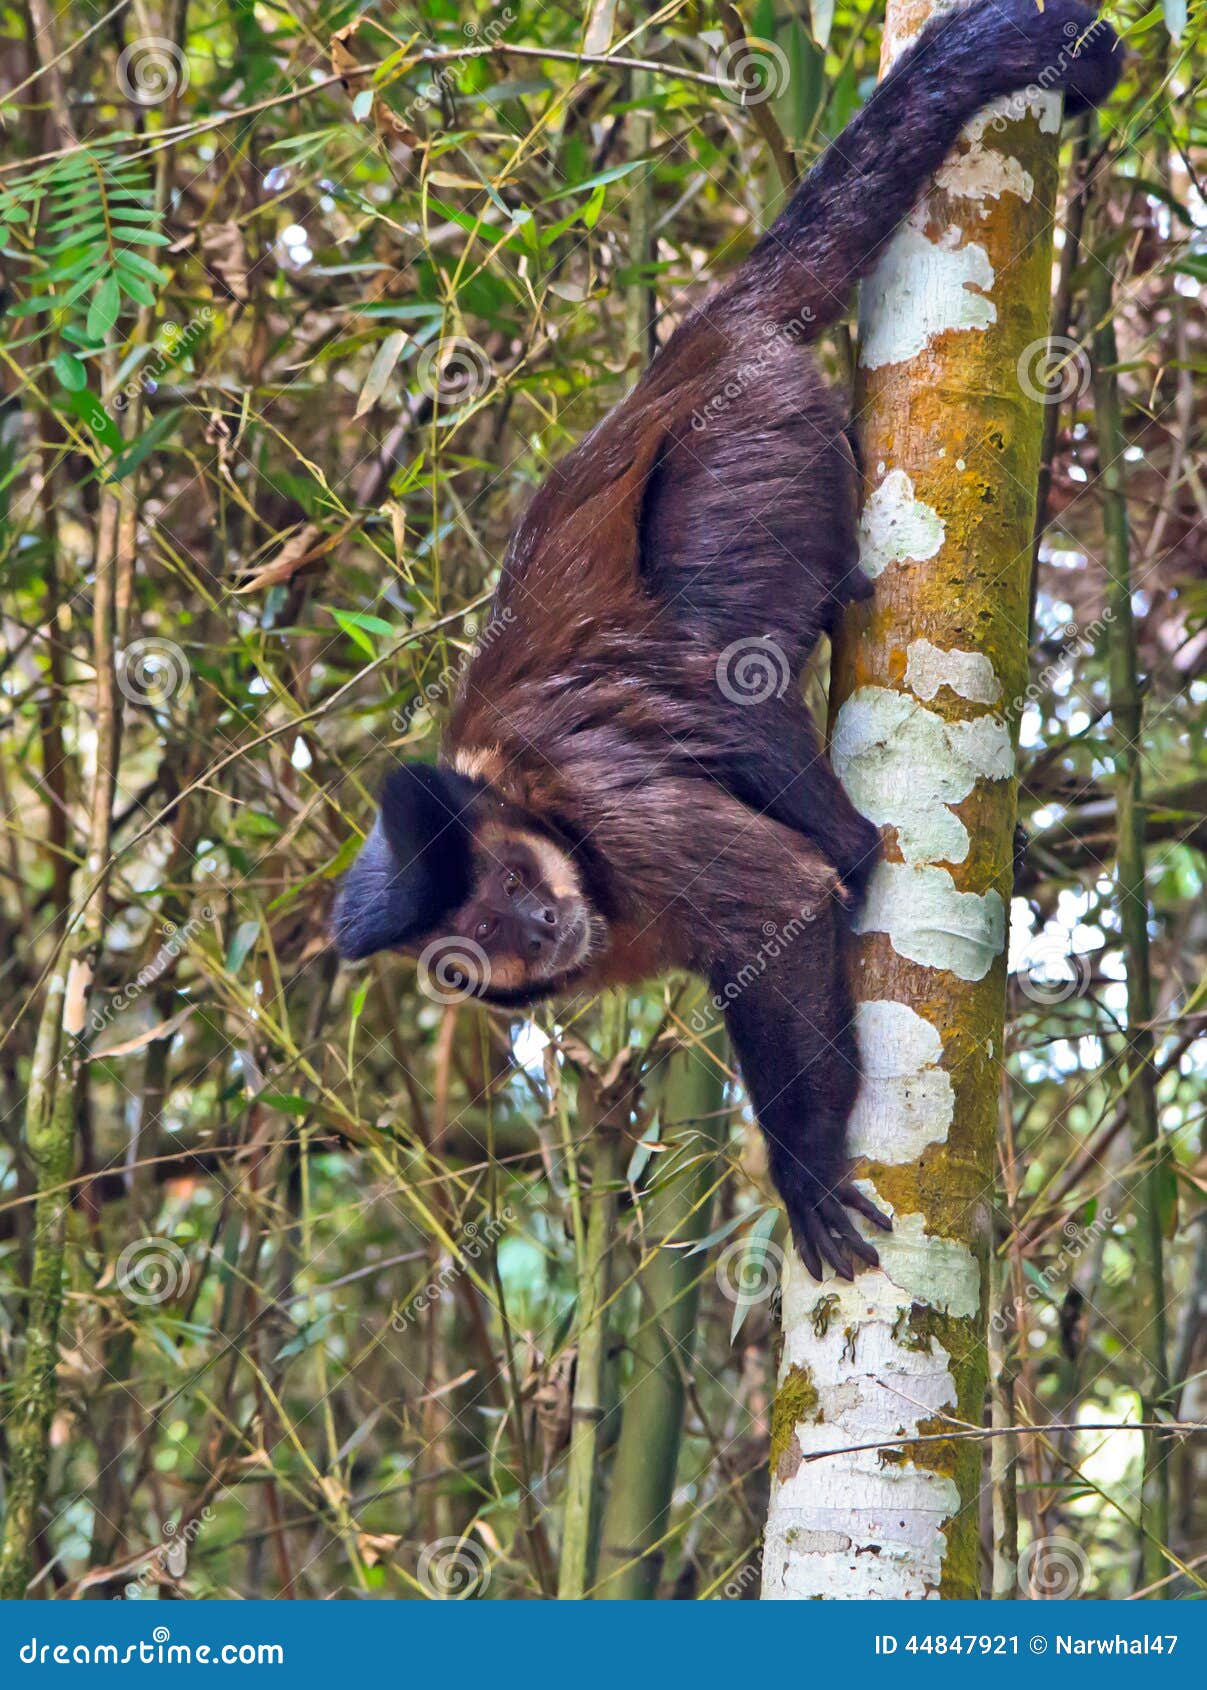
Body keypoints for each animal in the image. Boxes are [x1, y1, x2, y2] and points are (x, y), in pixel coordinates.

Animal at [333, 0, 1121, 1280]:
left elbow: (775, 907)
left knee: (722, 646)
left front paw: (799, 1163)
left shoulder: (612, 812)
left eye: (513, 886)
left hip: (747, 424)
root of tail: (691, 342)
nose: (537, 926)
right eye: (474, 941)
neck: (543, 820)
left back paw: (835, 820)